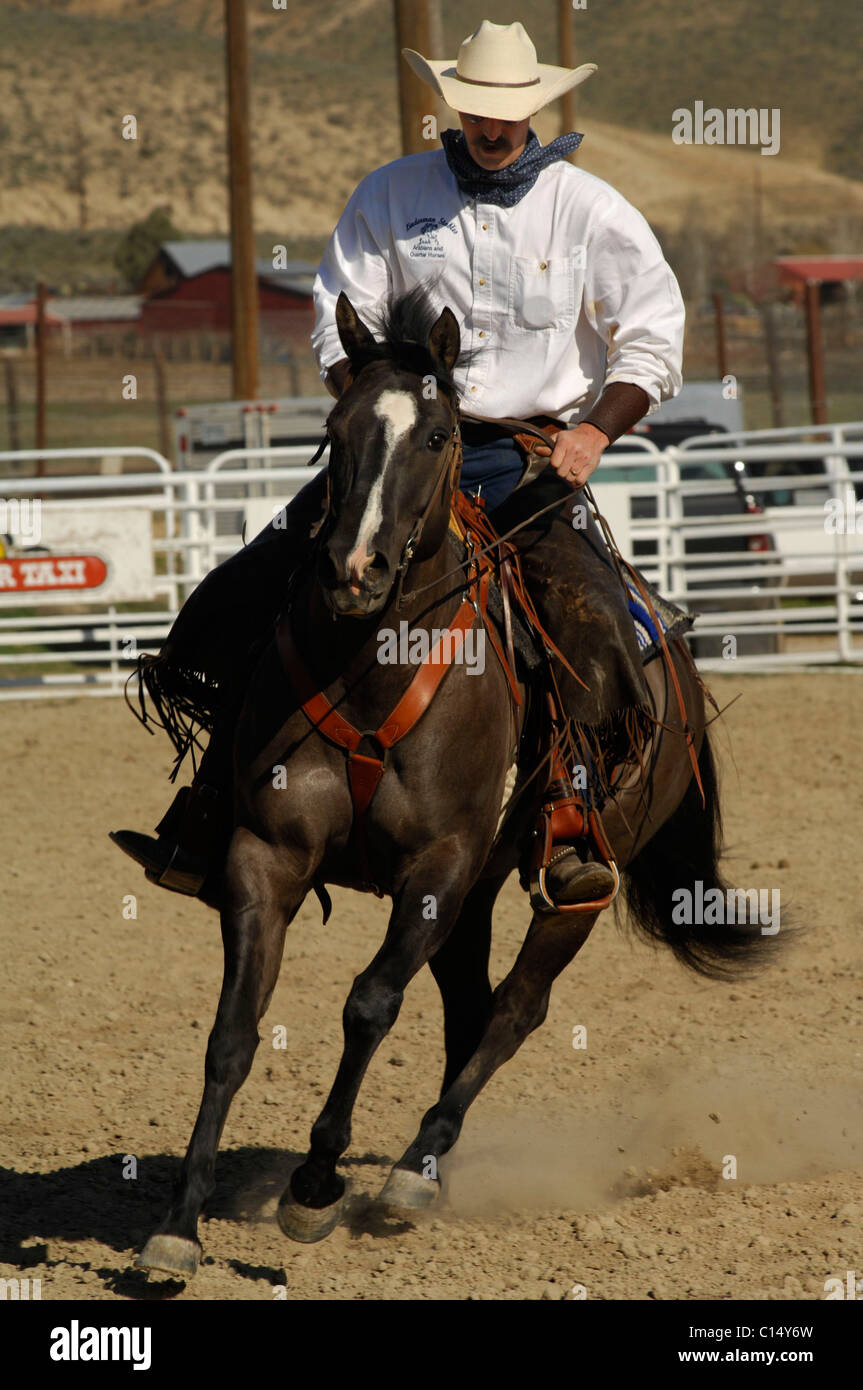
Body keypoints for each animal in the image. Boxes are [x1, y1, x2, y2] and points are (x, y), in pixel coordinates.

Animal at [133, 290, 777, 1277]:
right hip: (476, 889)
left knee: (514, 1010)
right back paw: (425, 1171)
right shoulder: (264, 859)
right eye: (335, 430)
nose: (353, 571)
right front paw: (177, 1224)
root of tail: (669, 643)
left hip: (568, 882)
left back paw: (409, 1173)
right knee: (469, 1009)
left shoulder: (435, 867)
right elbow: (232, 1033)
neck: (374, 665)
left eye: (437, 436)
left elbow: (369, 1003)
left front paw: (313, 1186)